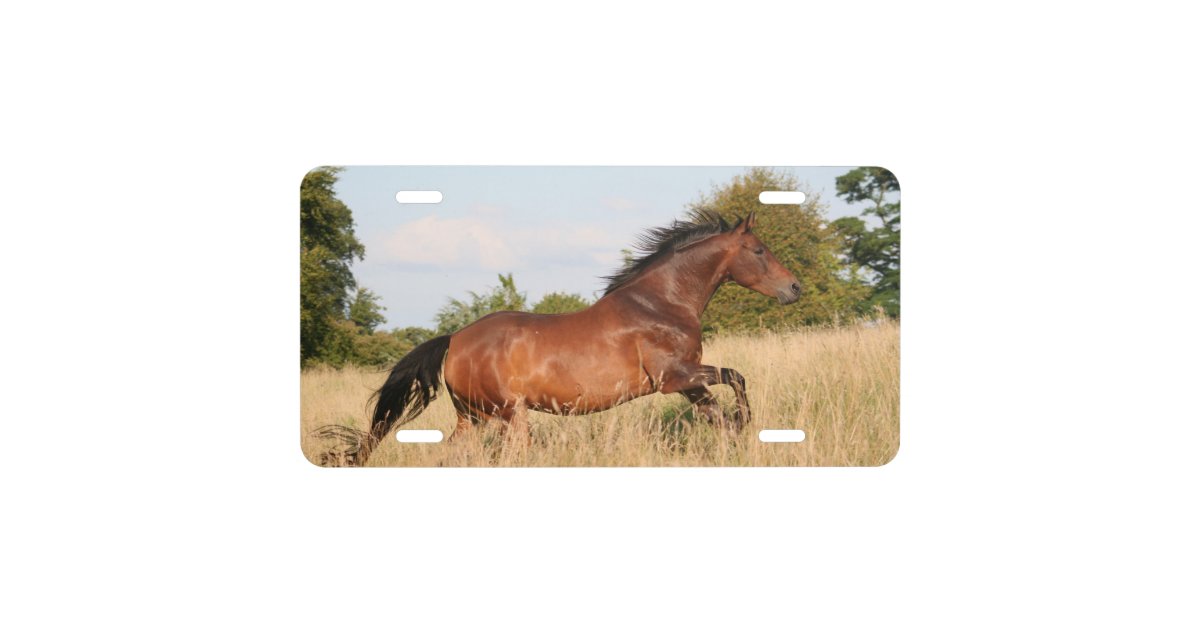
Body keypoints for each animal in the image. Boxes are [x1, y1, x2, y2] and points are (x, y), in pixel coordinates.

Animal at [313, 210, 801, 466]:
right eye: (759, 251)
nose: (794, 288)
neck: (660, 303)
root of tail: (454, 341)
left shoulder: (689, 383)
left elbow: (719, 411)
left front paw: (735, 437)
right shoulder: (675, 377)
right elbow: (736, 378)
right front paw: (744, 424)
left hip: (473, 417)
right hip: (509, 415)